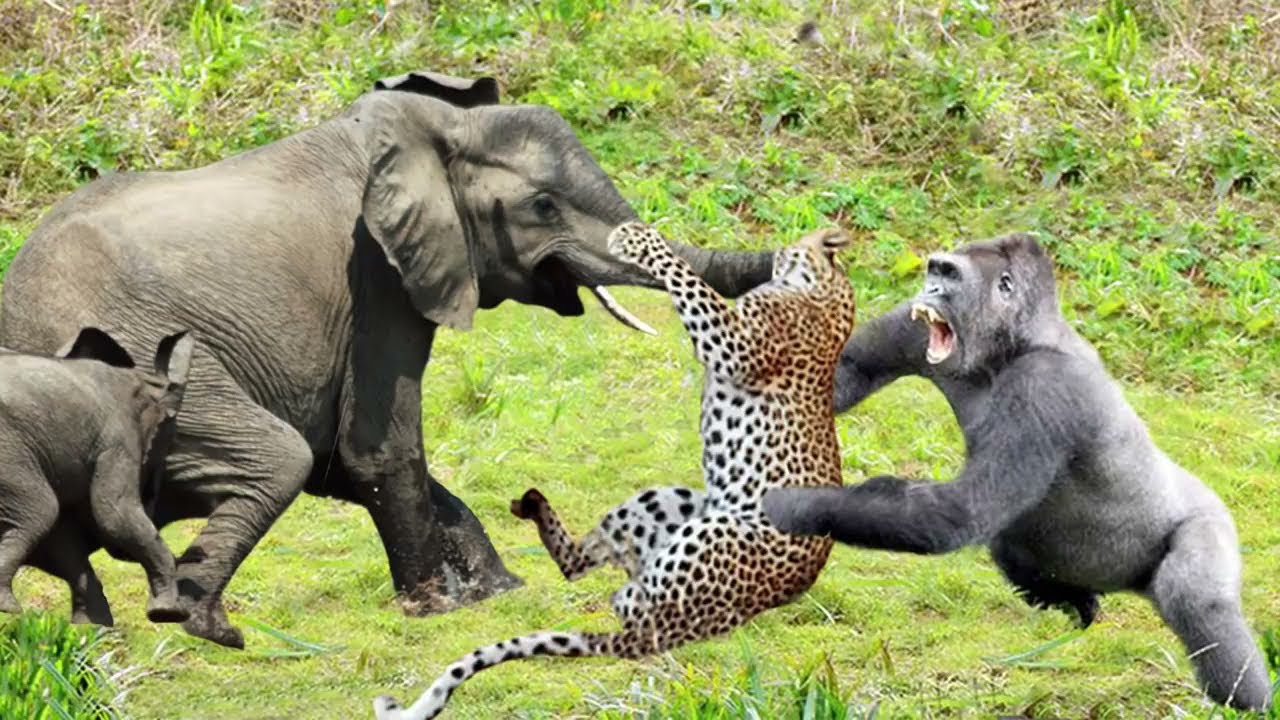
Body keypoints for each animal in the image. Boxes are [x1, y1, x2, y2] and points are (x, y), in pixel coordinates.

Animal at [0, 328, 194, 626]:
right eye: (165, 444)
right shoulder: (117, 442)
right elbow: (114, 514)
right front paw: (169, 614)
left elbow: (62, 538)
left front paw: (91, 627)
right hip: (7, 448)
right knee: (40, 508)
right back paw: (8, 606)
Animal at [372, 222, 857, 720]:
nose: (777, 254)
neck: (825, 288)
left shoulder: (736, 344)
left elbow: (686, 280)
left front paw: (638, 239)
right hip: (670, 503)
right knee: (593, 566)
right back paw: (533, 507)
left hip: (708, 542)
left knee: (616, 593)